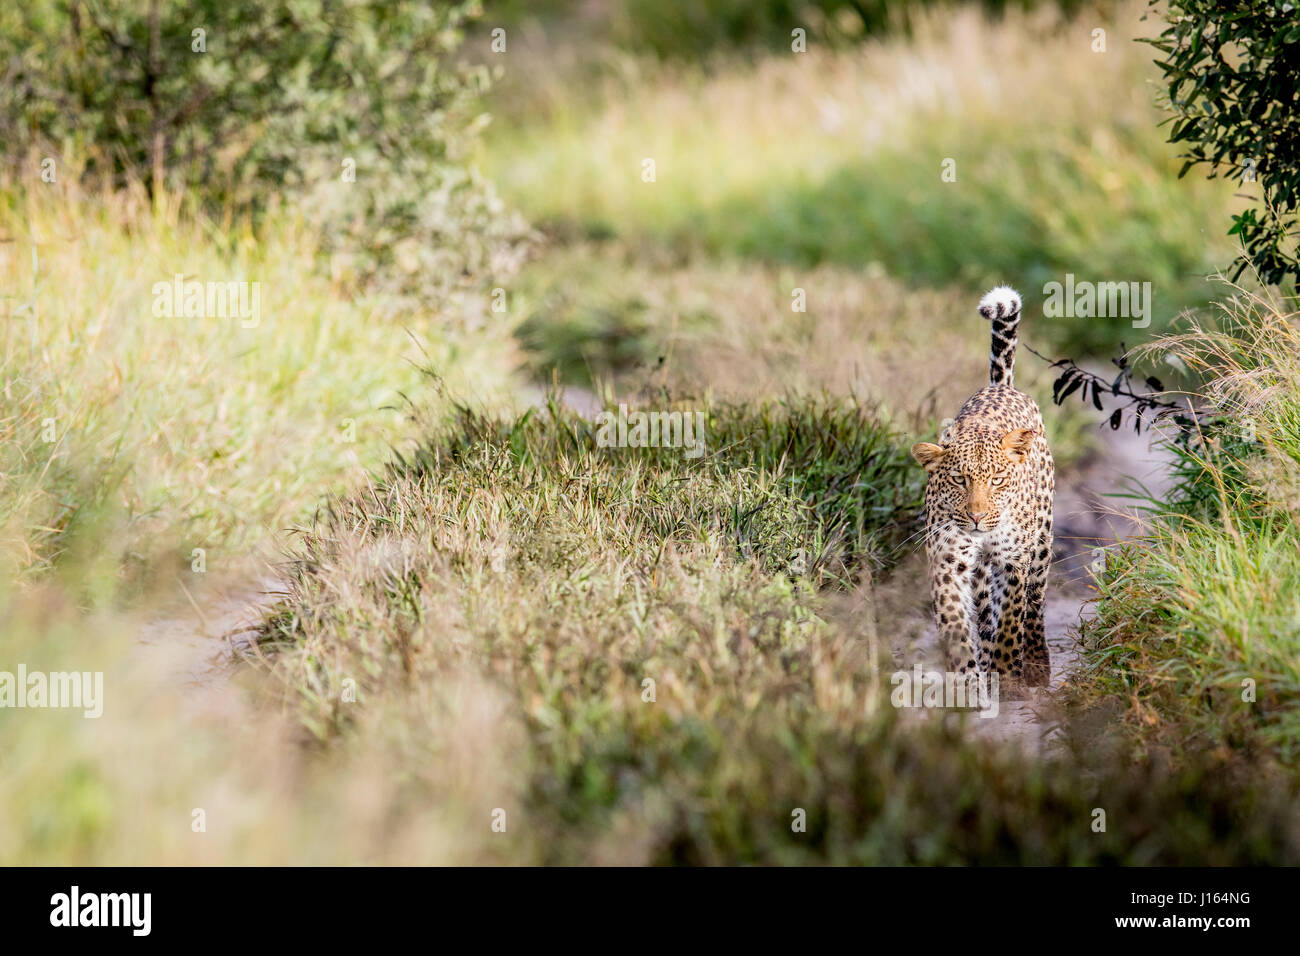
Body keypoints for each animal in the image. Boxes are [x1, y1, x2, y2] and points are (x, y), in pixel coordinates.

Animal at [910, 286, 1054, 688]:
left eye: (997, 480)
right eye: (959, 479)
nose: (976, 518)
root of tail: (1000, 386)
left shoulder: (1013, 559)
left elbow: (1011, 619)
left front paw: (1007, 673)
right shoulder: (949, 561)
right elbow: (956, 625)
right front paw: (968, 679)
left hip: (1041, 545)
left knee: (1035, 604)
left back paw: (1035, 665)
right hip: (981, 572)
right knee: (986, 614)